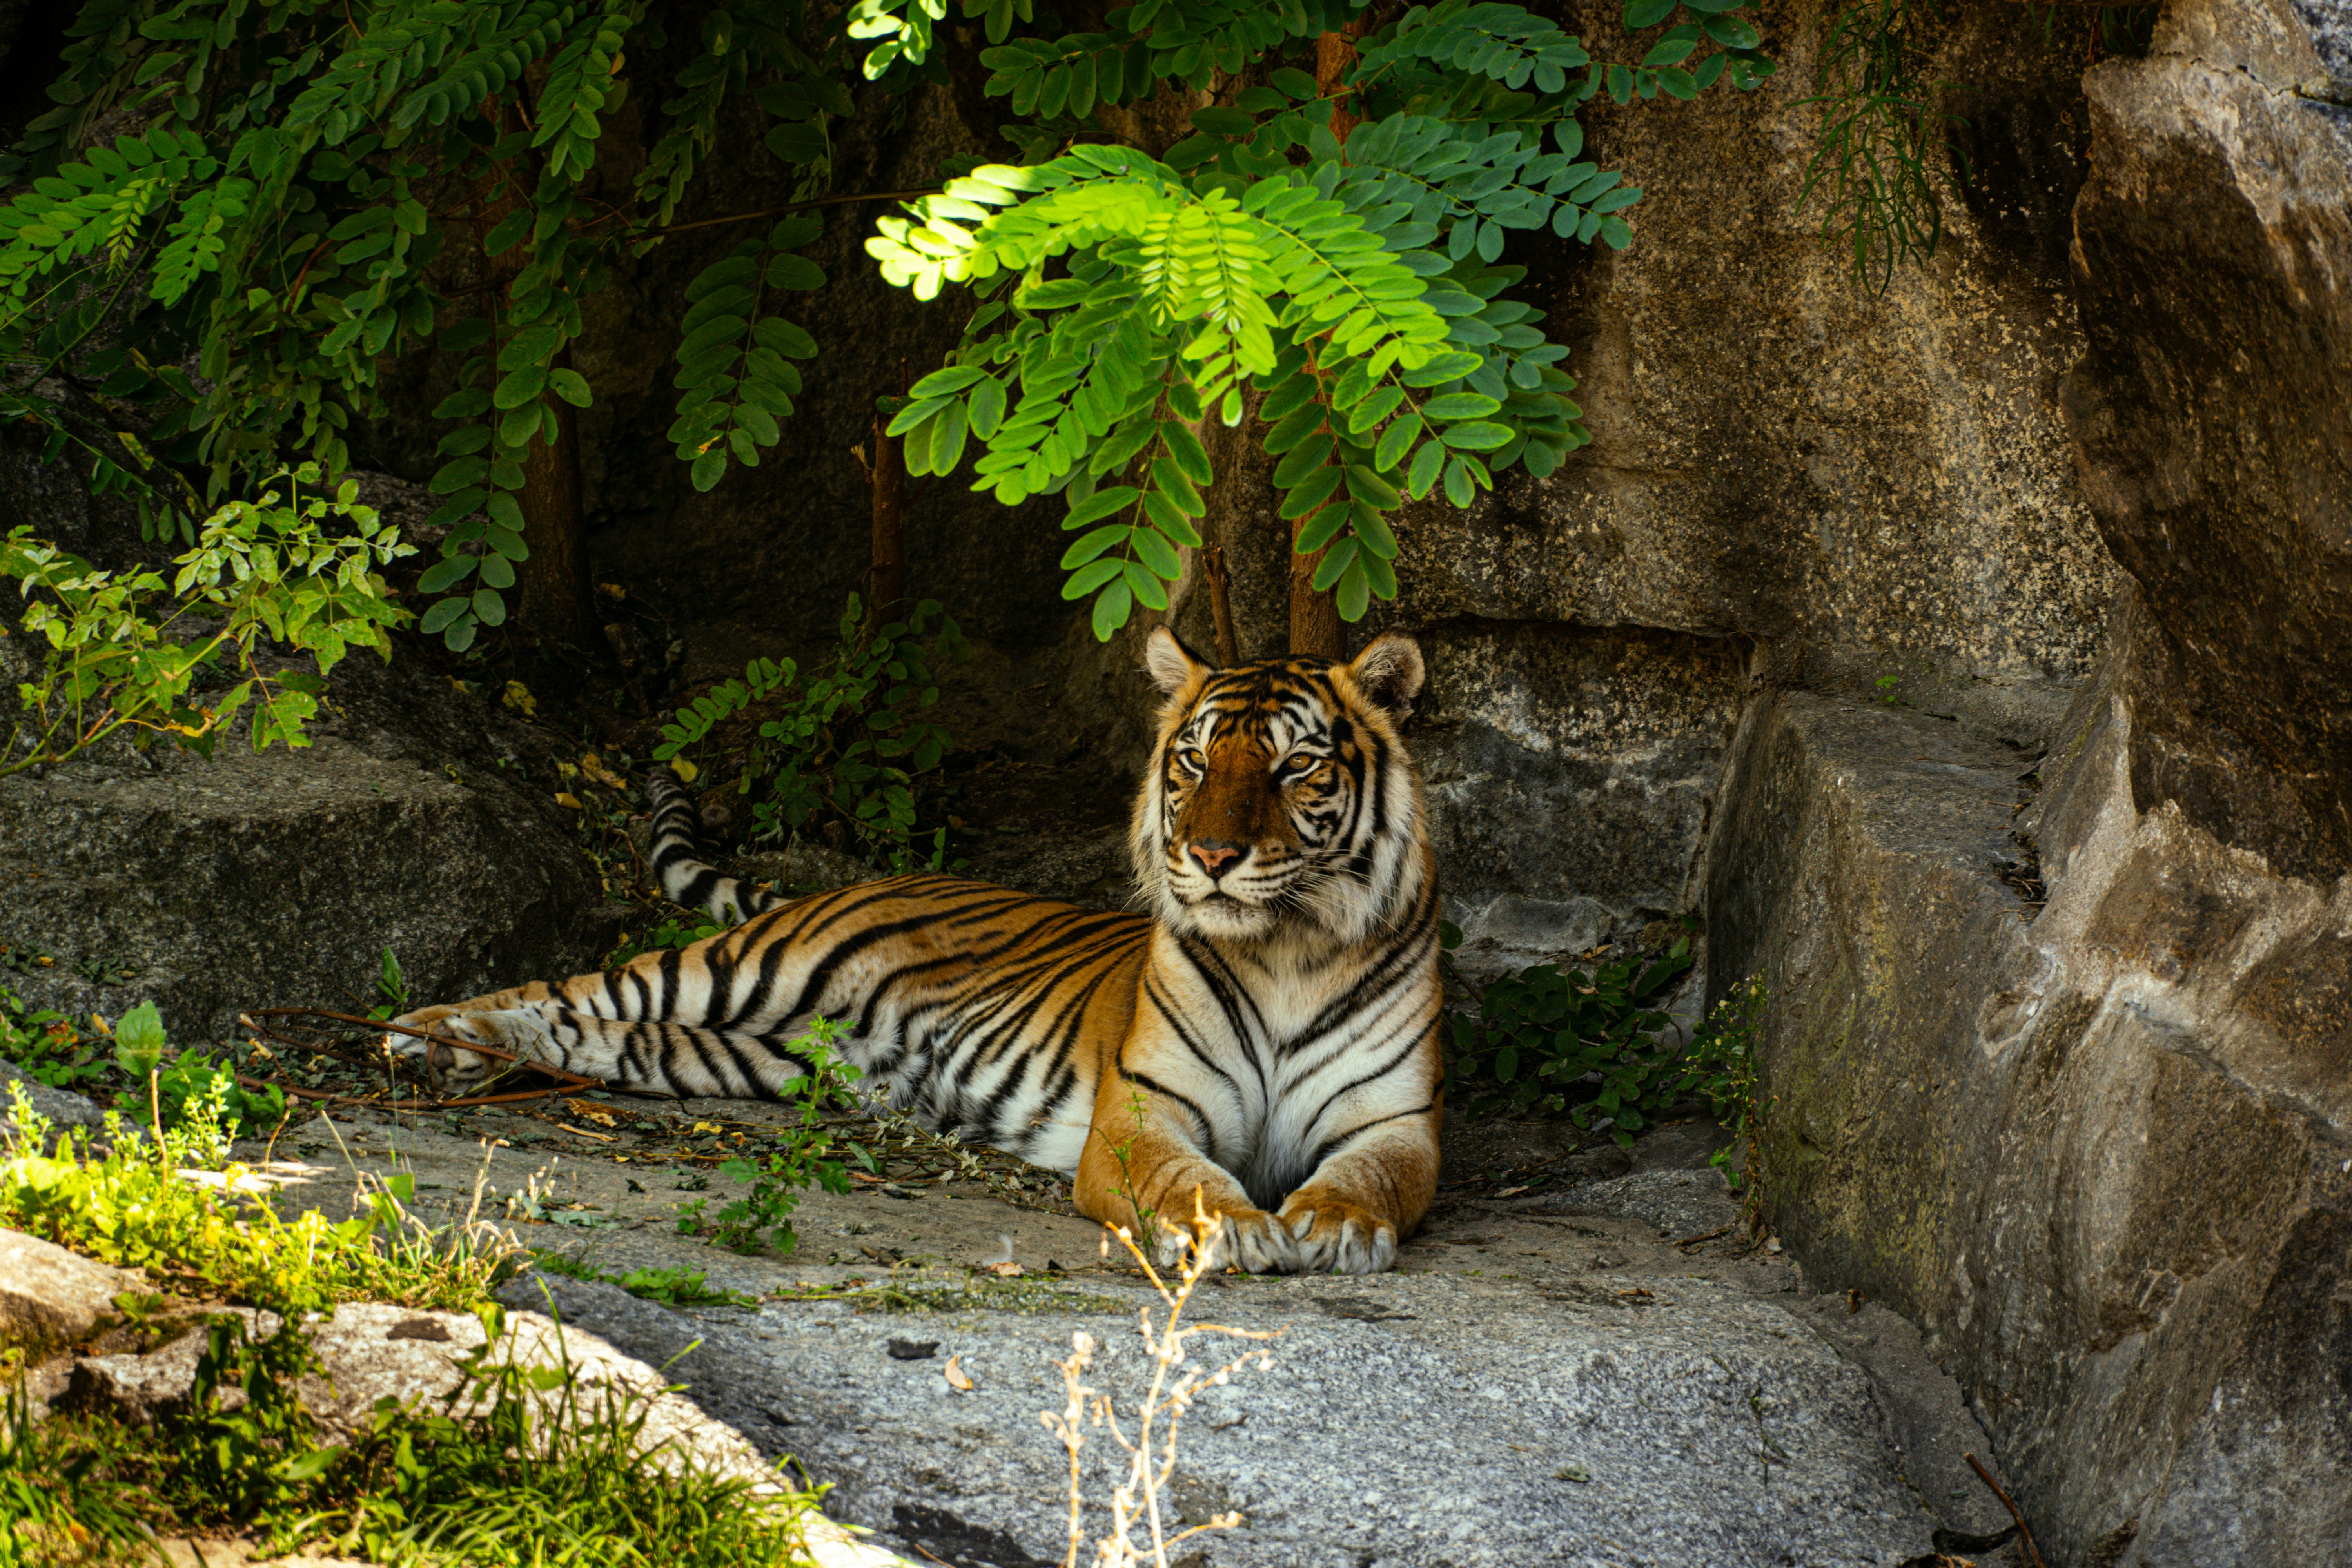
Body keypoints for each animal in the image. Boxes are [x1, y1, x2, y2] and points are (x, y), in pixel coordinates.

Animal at [388, 628, 1443, 1274]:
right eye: (1193, 759)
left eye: (1295, 765)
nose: (1213, 855)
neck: (1285, 951)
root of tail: (862, 880)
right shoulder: (1141, 1115)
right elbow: (1187, 1182)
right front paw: (1245, 1230)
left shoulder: (1397, 1124)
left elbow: (1371, 1180)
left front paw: (1331, 1226)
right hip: (739, 968)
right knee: (573, 985)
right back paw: (423, 1032)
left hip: (758, 1057)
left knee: (603, 1037)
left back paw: (470, 1058)